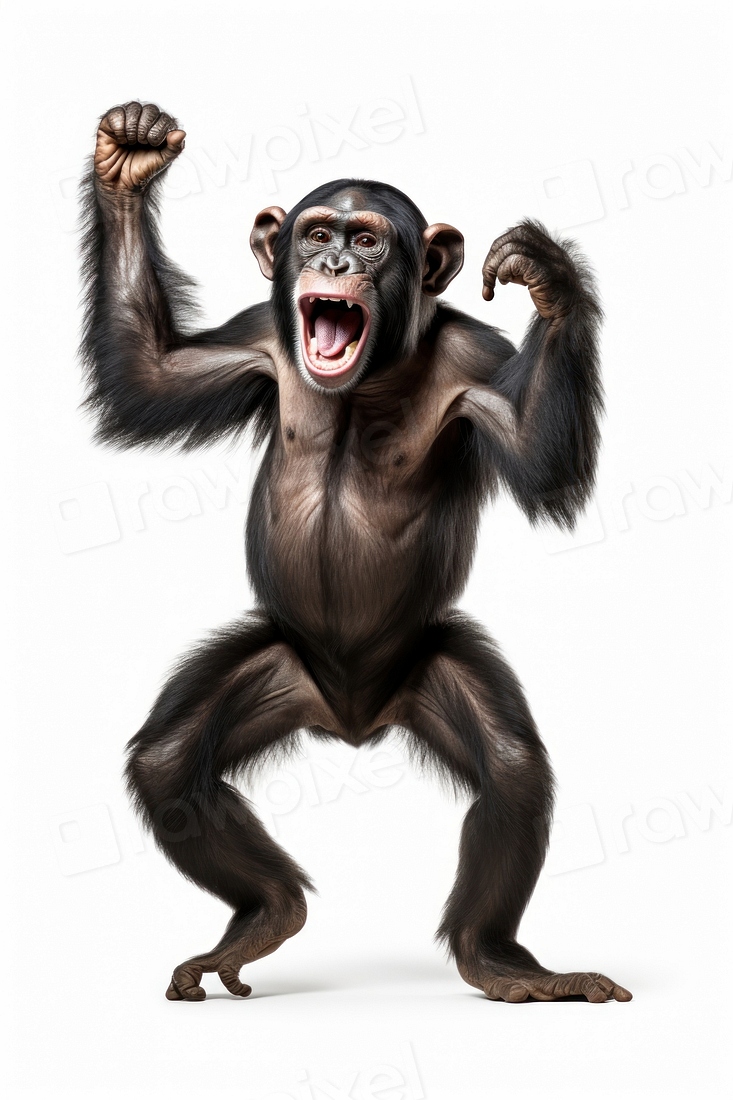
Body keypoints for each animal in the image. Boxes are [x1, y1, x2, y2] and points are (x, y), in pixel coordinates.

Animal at [79, 101, 632, 1004]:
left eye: (368, 240)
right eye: (314, 235)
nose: (335, 261)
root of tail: (351, 722)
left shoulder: (477, 361)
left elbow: (539, 459)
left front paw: (549, 280)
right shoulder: (256, 338)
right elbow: (150, 372)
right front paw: (128, 158)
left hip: (424, 664)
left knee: (511, 770)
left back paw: (500, 962)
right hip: (280, 665)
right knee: (167, 766)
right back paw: (265, 914)